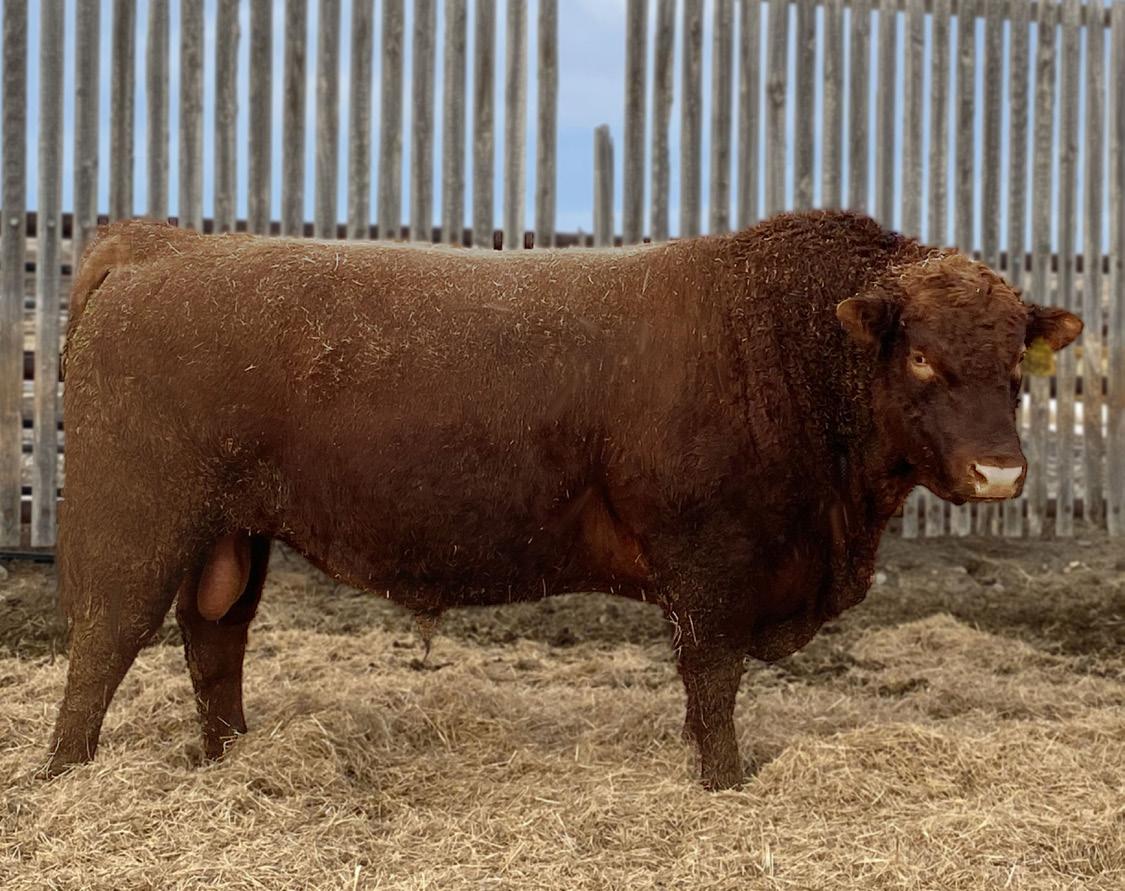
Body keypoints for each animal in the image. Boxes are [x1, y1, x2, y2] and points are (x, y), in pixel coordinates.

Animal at [45, 210, 1081, 789]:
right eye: (920, 355)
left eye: (1014, 361)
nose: (999, 472)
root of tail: (161, 246)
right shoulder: (710, 566)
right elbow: (712, 688)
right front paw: (724, 787)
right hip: (137, 520)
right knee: (101, 647)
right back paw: (67, 778)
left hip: (232, 532)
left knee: (214, 643)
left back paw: (231, 761)